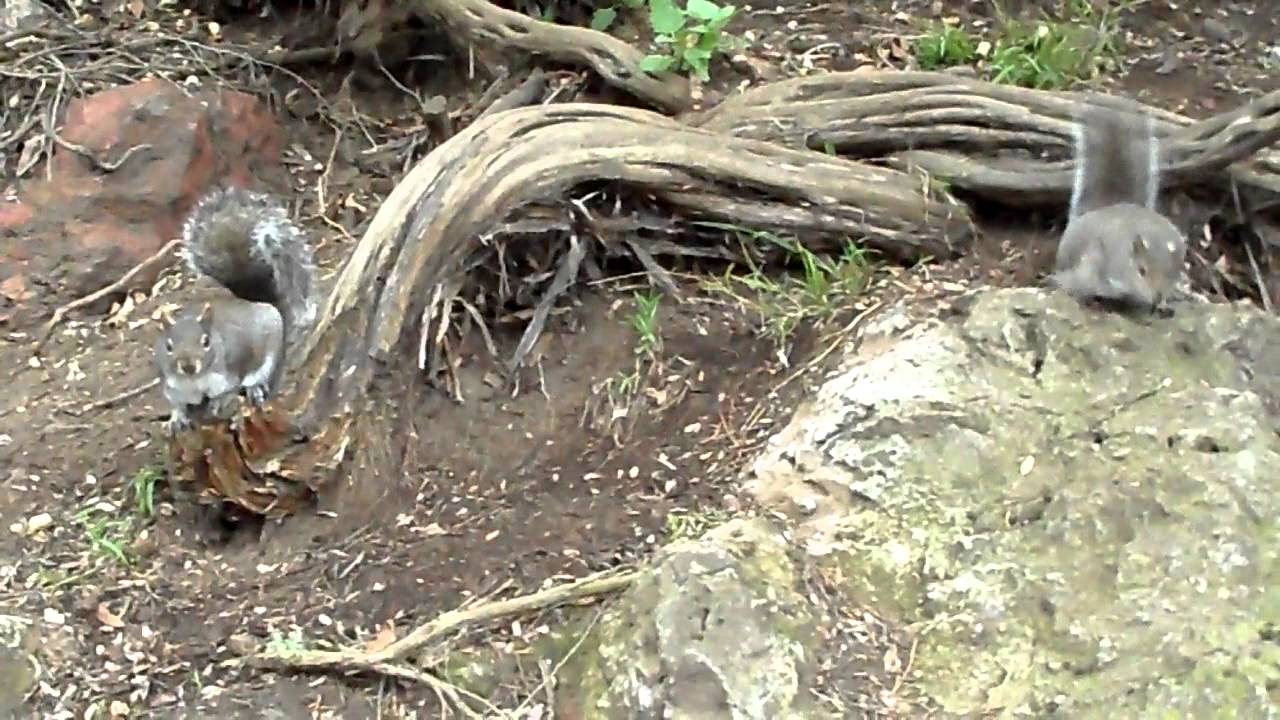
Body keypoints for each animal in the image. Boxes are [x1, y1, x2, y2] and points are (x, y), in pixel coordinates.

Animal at [154, 186, 317, 435]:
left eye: (206, 341)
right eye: (168, 346)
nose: (188, 366)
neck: (196, 381)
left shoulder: (232, 370)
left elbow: (229, 388)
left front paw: (220, 401)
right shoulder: (174, 387)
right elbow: (178, 404)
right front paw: (176, 417)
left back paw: (254, 389)